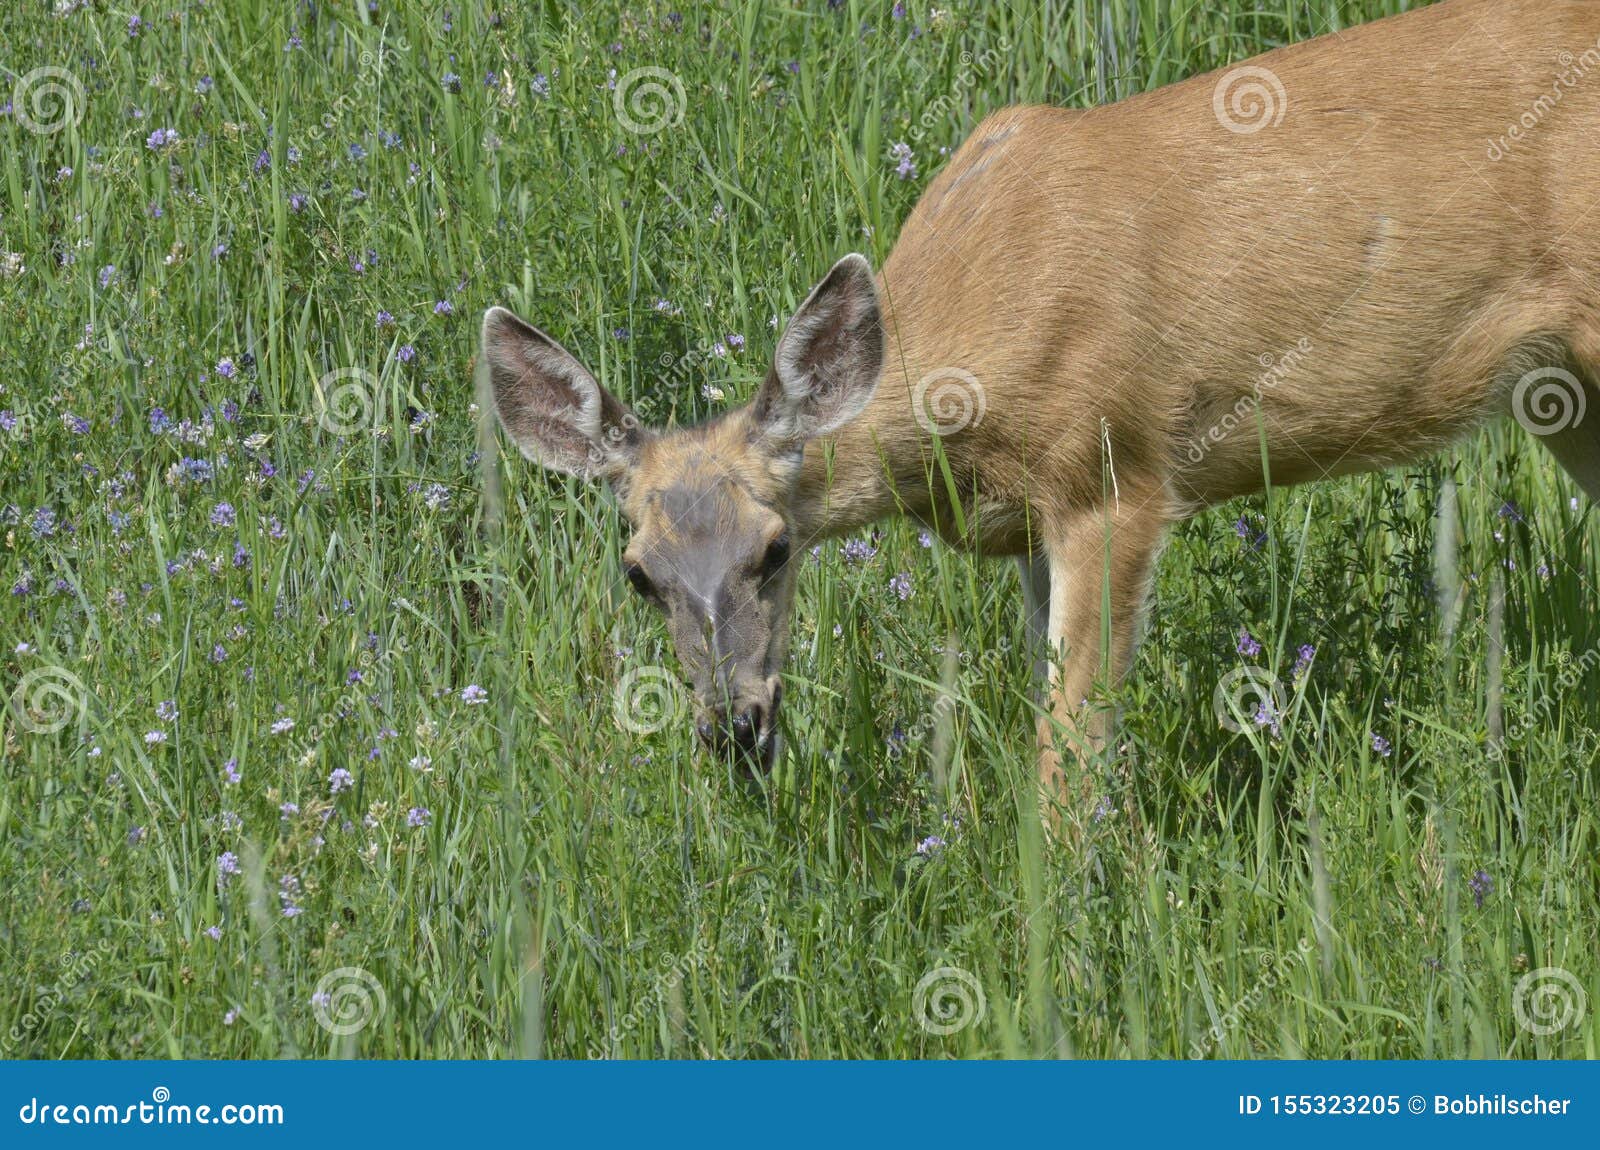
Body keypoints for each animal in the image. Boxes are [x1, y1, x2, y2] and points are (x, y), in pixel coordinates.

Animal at [482, 0, 1600, 833]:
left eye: (774, 550)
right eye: (638, 575)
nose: (735, 729)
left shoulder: (1111, 470)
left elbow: (1069, 756)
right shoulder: (1028, 523)